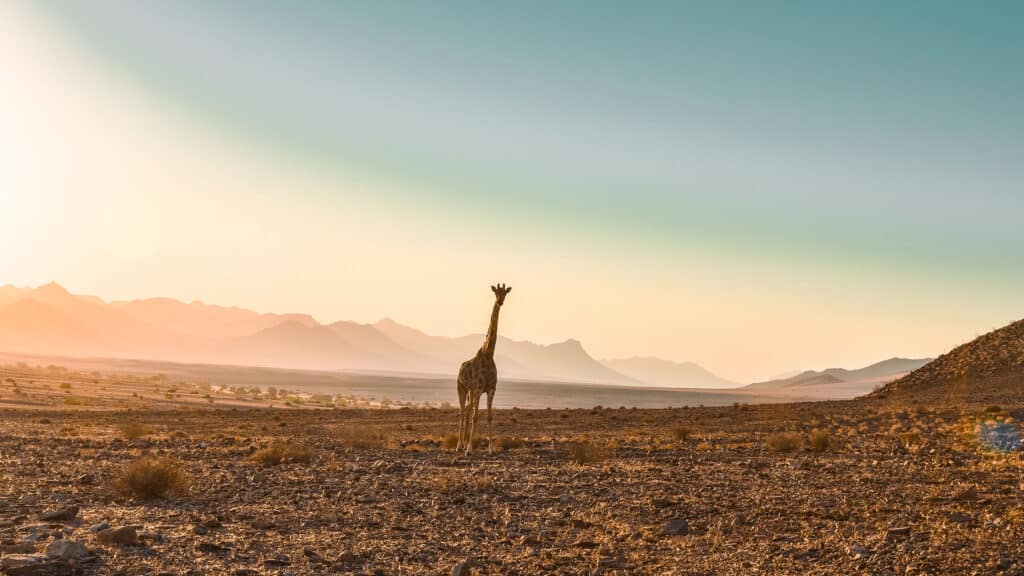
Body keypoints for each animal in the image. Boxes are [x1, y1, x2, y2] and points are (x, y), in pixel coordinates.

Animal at [456, 283, 511, 453]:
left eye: (505, 293)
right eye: (495, 292)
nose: (500, 301)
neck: (488, 354)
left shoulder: (491, 389)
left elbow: (489, 416)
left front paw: (491, 449)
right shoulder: (479, 389)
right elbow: (475, 417)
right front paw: (468, 449)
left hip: (471, 391)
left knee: (467, 411)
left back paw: (463, 443)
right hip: (462, 388)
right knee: (463, 412)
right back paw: (459, 445)